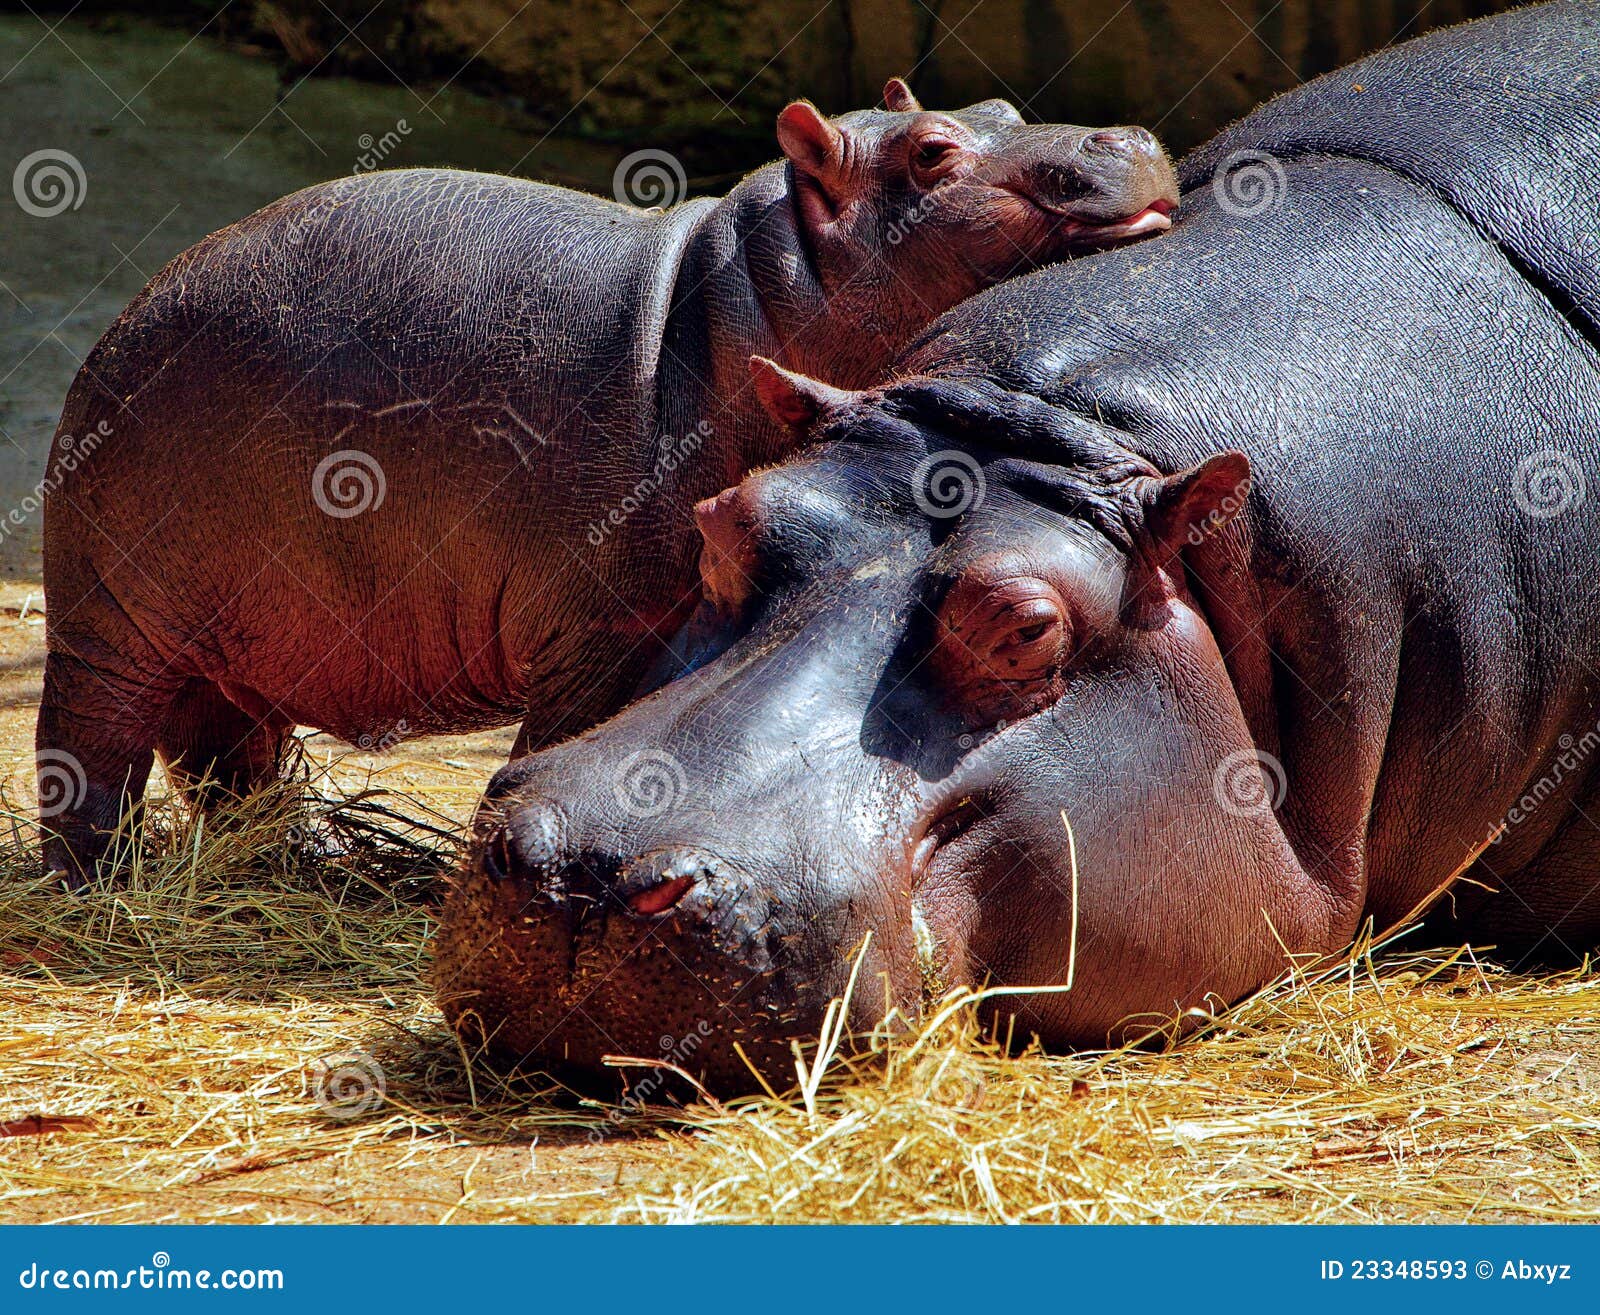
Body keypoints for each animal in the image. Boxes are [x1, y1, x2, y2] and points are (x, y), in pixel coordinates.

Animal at [37, 81, 1178, 883]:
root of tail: (119, 321)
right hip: (109, 617)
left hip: (237, 634)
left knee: (229, 752)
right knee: (88, 742)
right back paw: (100, 882)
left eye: (1005, 110)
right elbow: (565, 732)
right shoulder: (595, 621)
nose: (1127, 138)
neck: (750, 298)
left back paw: (301, 854)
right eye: (933, 152)